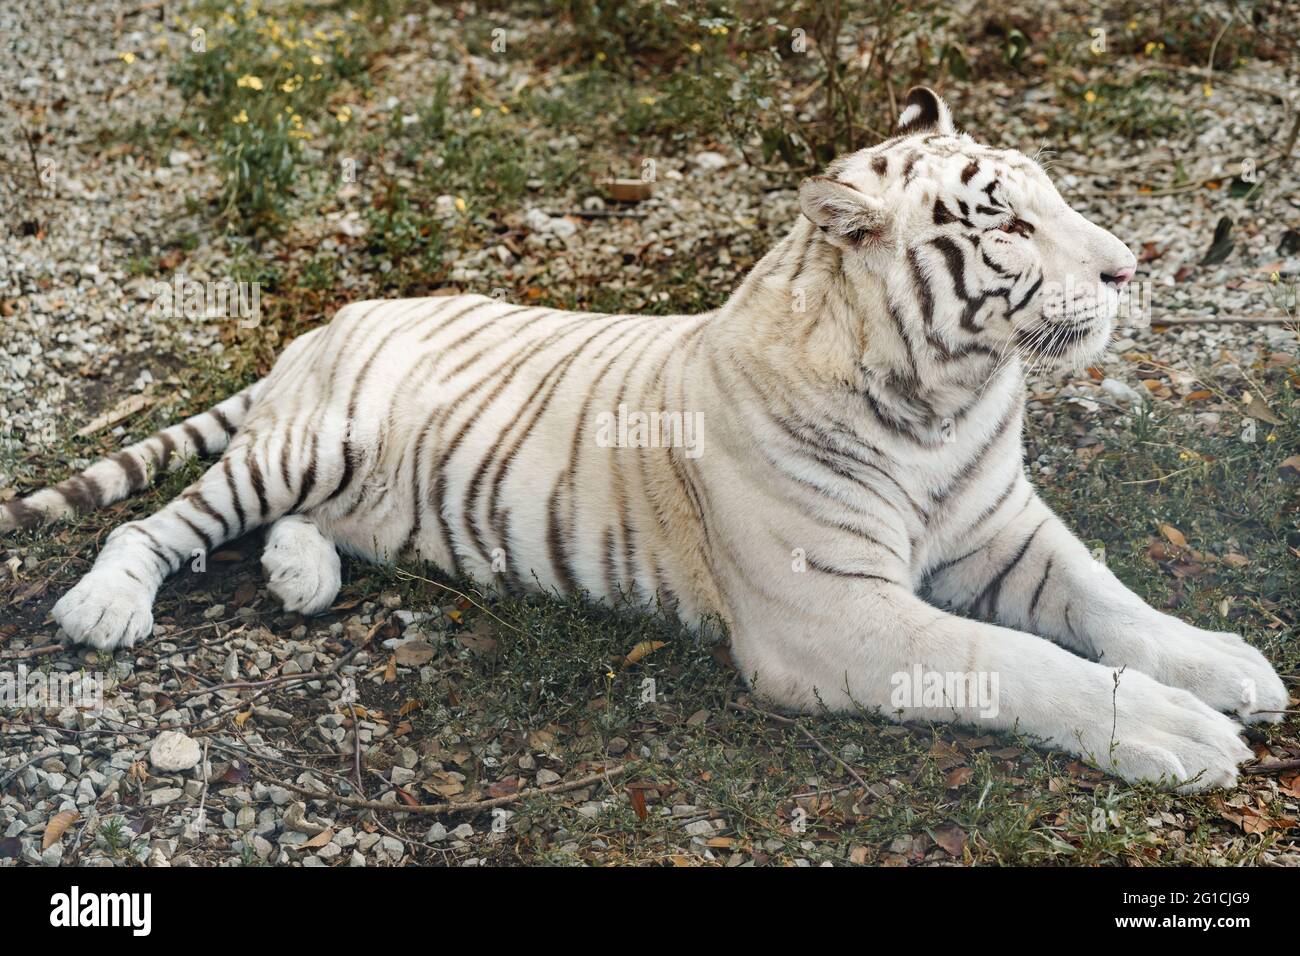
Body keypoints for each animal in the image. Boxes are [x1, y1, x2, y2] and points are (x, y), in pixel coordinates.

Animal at [2, 87, 1285, 792]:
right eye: (1007, 224)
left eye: (1050, 194)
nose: (1128, 268)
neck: (944, 398)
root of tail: (327, 318)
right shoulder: (832, 617)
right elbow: (1019, 661)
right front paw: (1172, 728)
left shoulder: (1004, 528)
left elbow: (1113, 601)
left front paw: (1224, 663)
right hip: (307, 438)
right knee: (166, 519)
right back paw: (106, 605)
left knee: (302, 524)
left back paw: (301, 573)